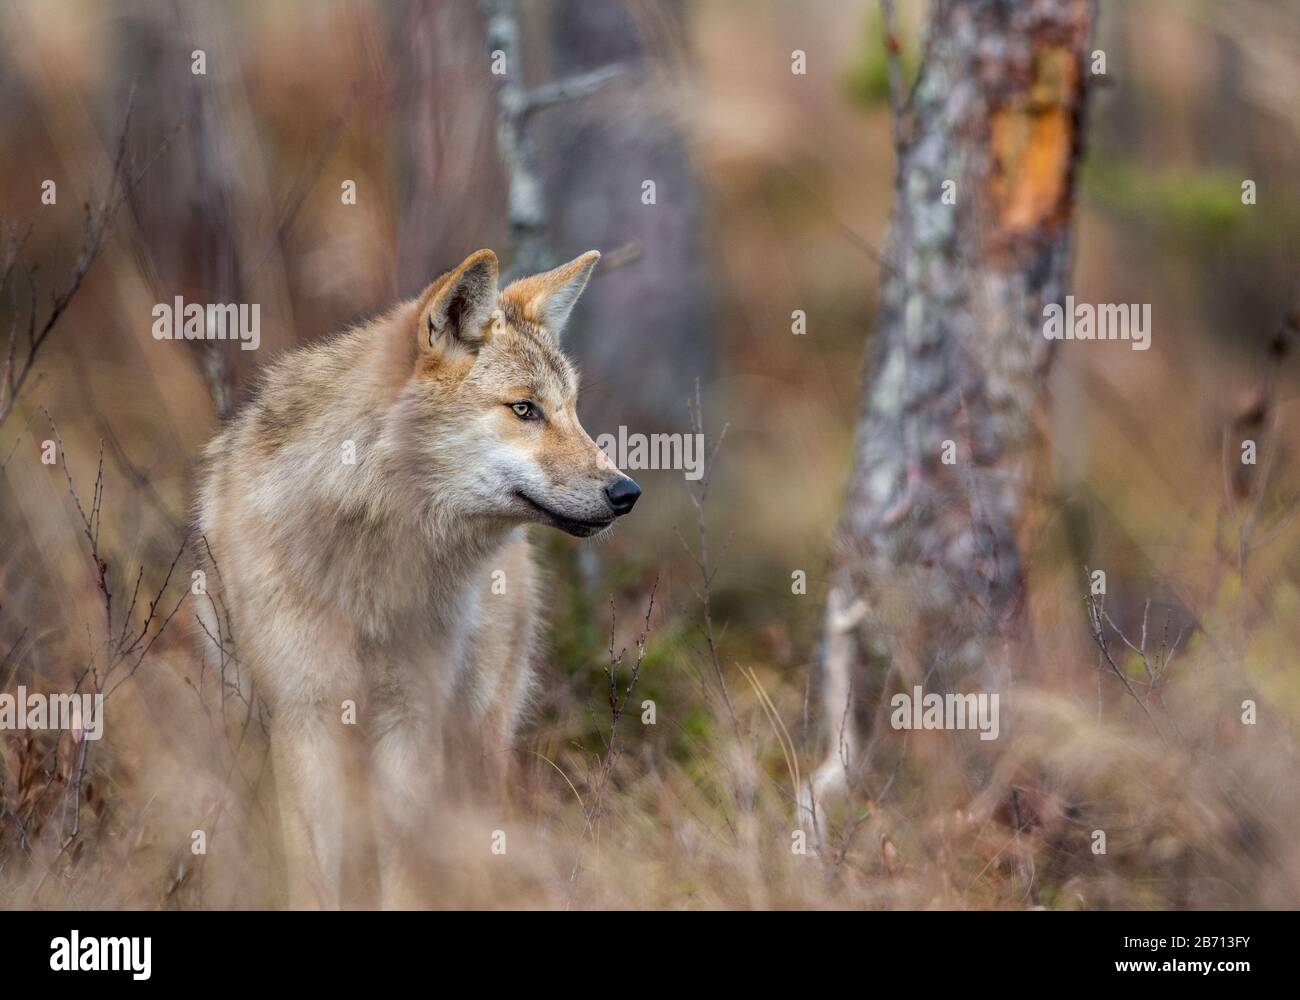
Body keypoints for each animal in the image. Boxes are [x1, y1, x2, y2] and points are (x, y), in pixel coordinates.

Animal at [195, 249, 640, 908]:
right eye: (525, 409)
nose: (626, 492)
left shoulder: (411, 719)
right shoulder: (306, 718)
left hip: (479, 735)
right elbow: (314, 876)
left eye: (572, 410)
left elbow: (405, 874)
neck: (374, 562)